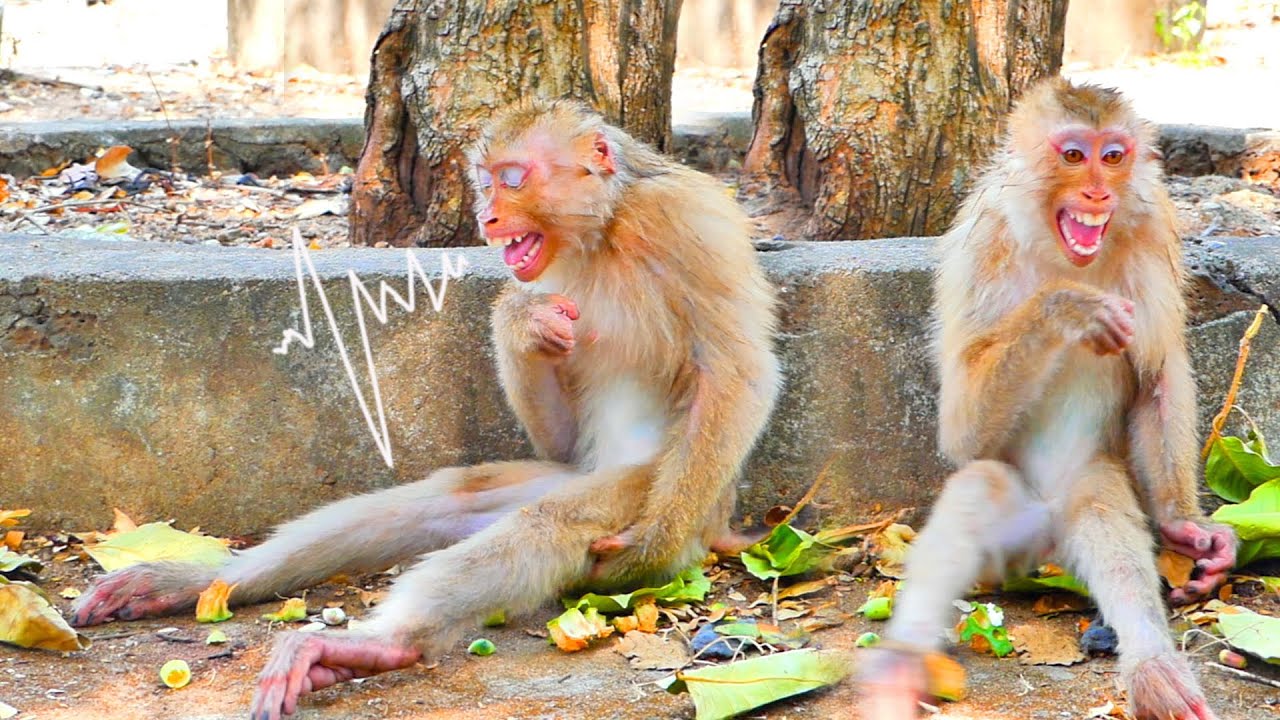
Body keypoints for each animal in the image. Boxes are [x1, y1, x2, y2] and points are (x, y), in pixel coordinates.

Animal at [69, 99, 782, 720]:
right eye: (485, 185)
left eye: (512, 179)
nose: (488, 218)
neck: (605, 227)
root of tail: (718, 520)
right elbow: (556, 424)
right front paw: (520, 323)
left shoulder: (686, 222)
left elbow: (737, 371)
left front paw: (649, 548)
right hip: (557, 477)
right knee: (447, 499)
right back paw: (210, 581)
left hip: (663, 491)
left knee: (552, 523)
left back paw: (380, 644)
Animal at [857, 78, 1236, 720]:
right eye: (1073, 155)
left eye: (1114, 155)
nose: (1097, 191)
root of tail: (1048, 550)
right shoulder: (981, 244)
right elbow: (960, 431)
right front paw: (1068, 307)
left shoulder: (1155, 230)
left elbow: (1157, 375)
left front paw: (1186, 529)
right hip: (1009, 555)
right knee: (979, 487)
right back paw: (901, 665)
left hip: (1086, 490)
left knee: (1104, 519)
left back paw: (1152, 667)